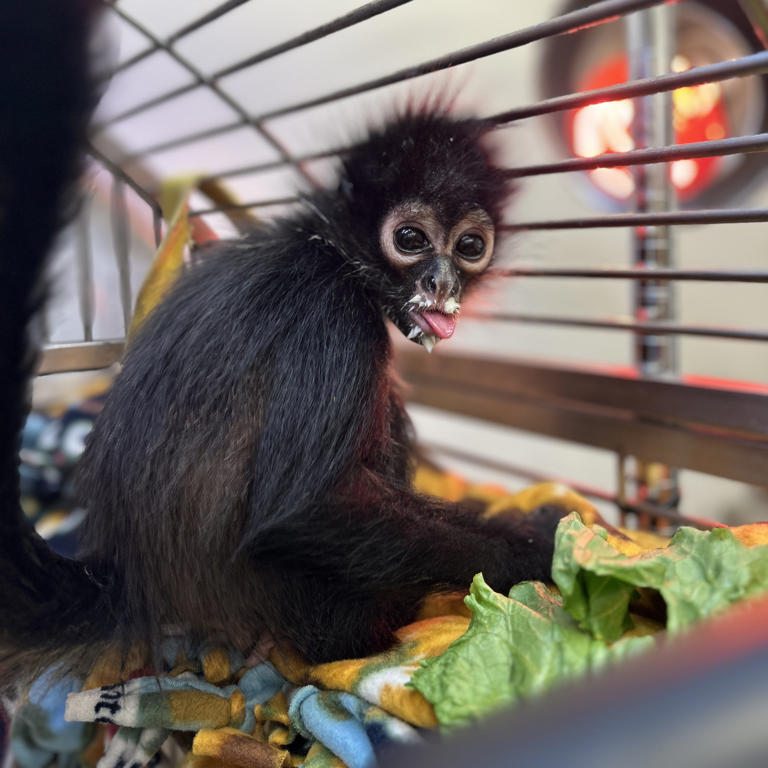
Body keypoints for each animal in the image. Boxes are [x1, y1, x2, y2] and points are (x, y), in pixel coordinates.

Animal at [1, 18, 561, 682]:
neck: (326, 247)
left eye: (470, 246)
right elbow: (313, 510)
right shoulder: (331, 312)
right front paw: (537, 547)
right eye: (410, 239)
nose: (442, 282)